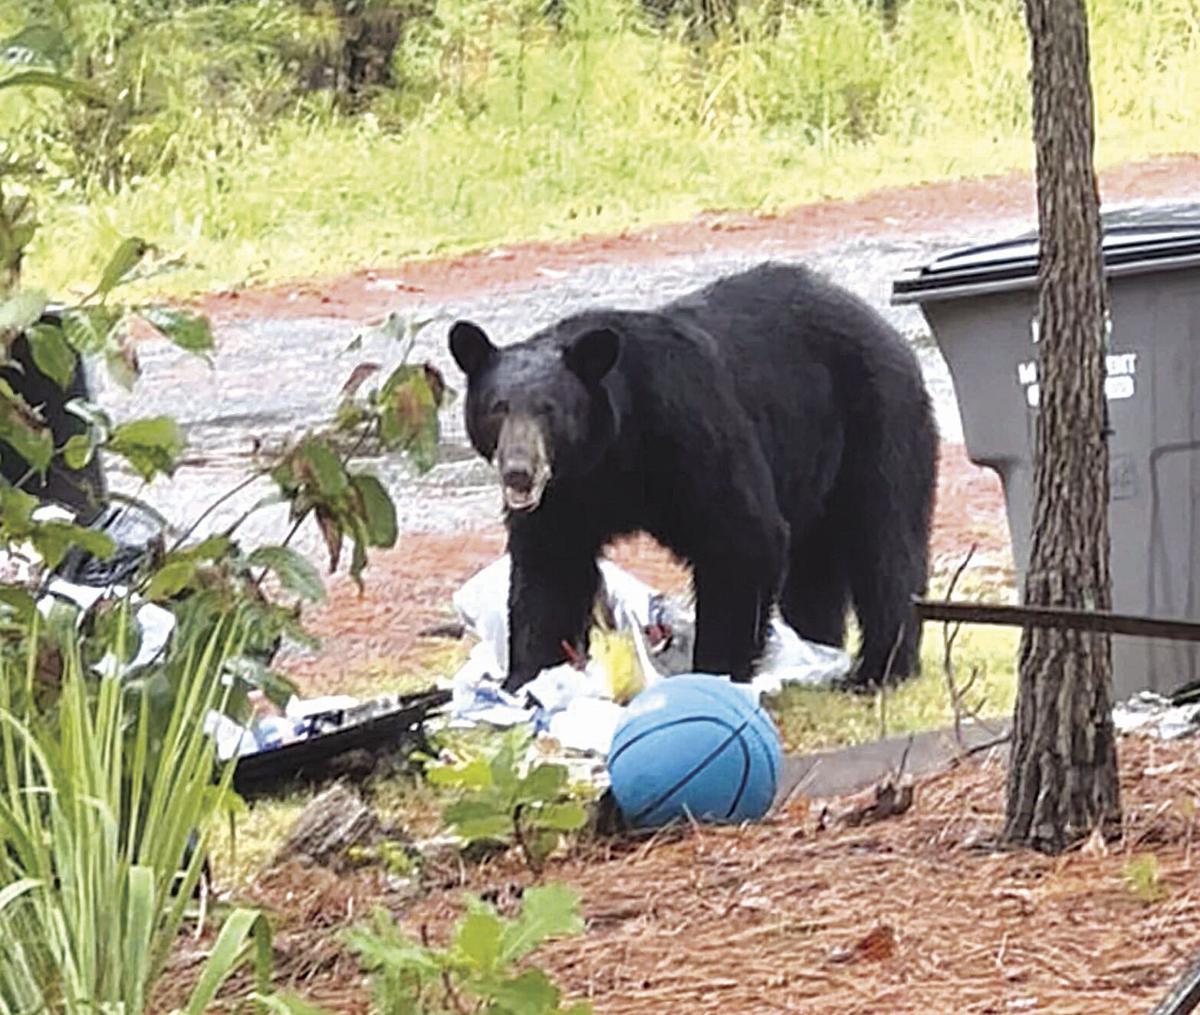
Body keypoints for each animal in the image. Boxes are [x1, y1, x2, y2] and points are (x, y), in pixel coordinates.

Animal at [448, 261, 938, 694]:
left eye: (549, 410)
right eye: (496, 408)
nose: (519, 472)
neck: (611, 451)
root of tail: (886, 328)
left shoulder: (688, 426)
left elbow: (742, 536)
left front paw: (716, 673)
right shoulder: (565, 494)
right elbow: (550, 571)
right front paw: (528, 680)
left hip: (876, 422)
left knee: (884, 545)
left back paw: (879, 670)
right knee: (815, 564)